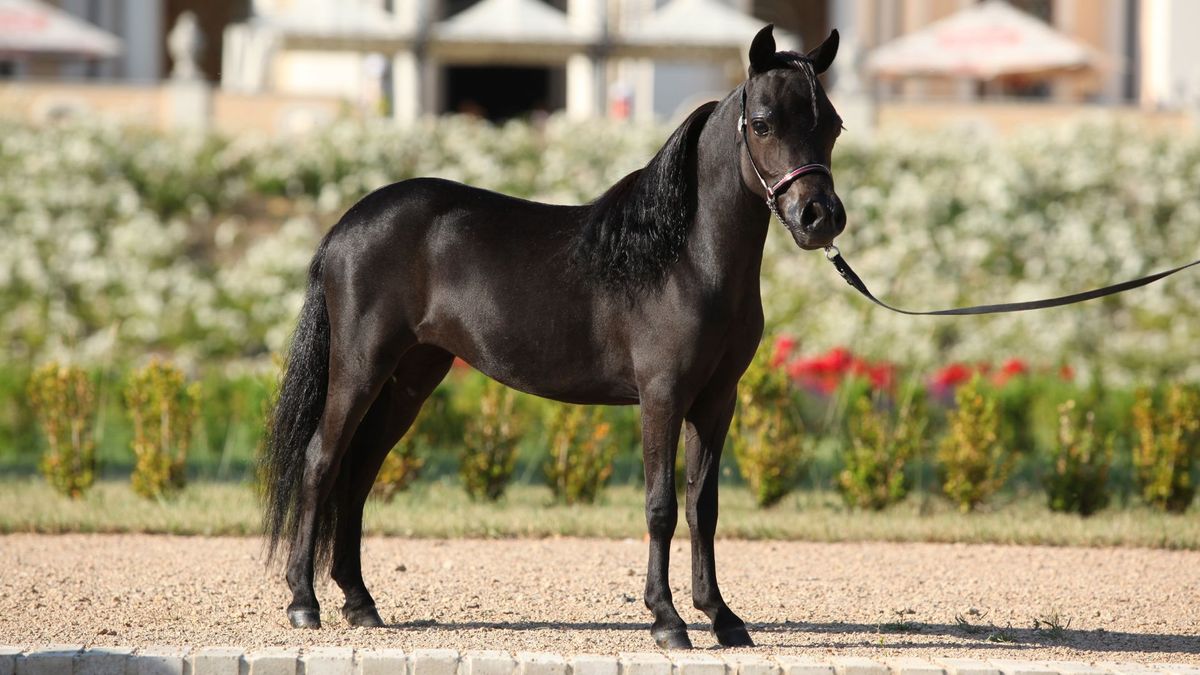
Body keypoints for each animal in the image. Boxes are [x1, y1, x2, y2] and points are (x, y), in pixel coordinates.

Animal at [261, 24, 846, 650]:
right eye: (762, 123)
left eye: (832, 124)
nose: (818, 217)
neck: (683, 258)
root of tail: (348, 224)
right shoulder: (662, 397)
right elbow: (660, 506)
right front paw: (666, 620)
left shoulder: (716, 400)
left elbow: (702, 507)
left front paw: (722, 617)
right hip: (360, 367)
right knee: (321, 462)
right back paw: (304, 602)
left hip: (411, 377)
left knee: (361, 471)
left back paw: (359, 602)